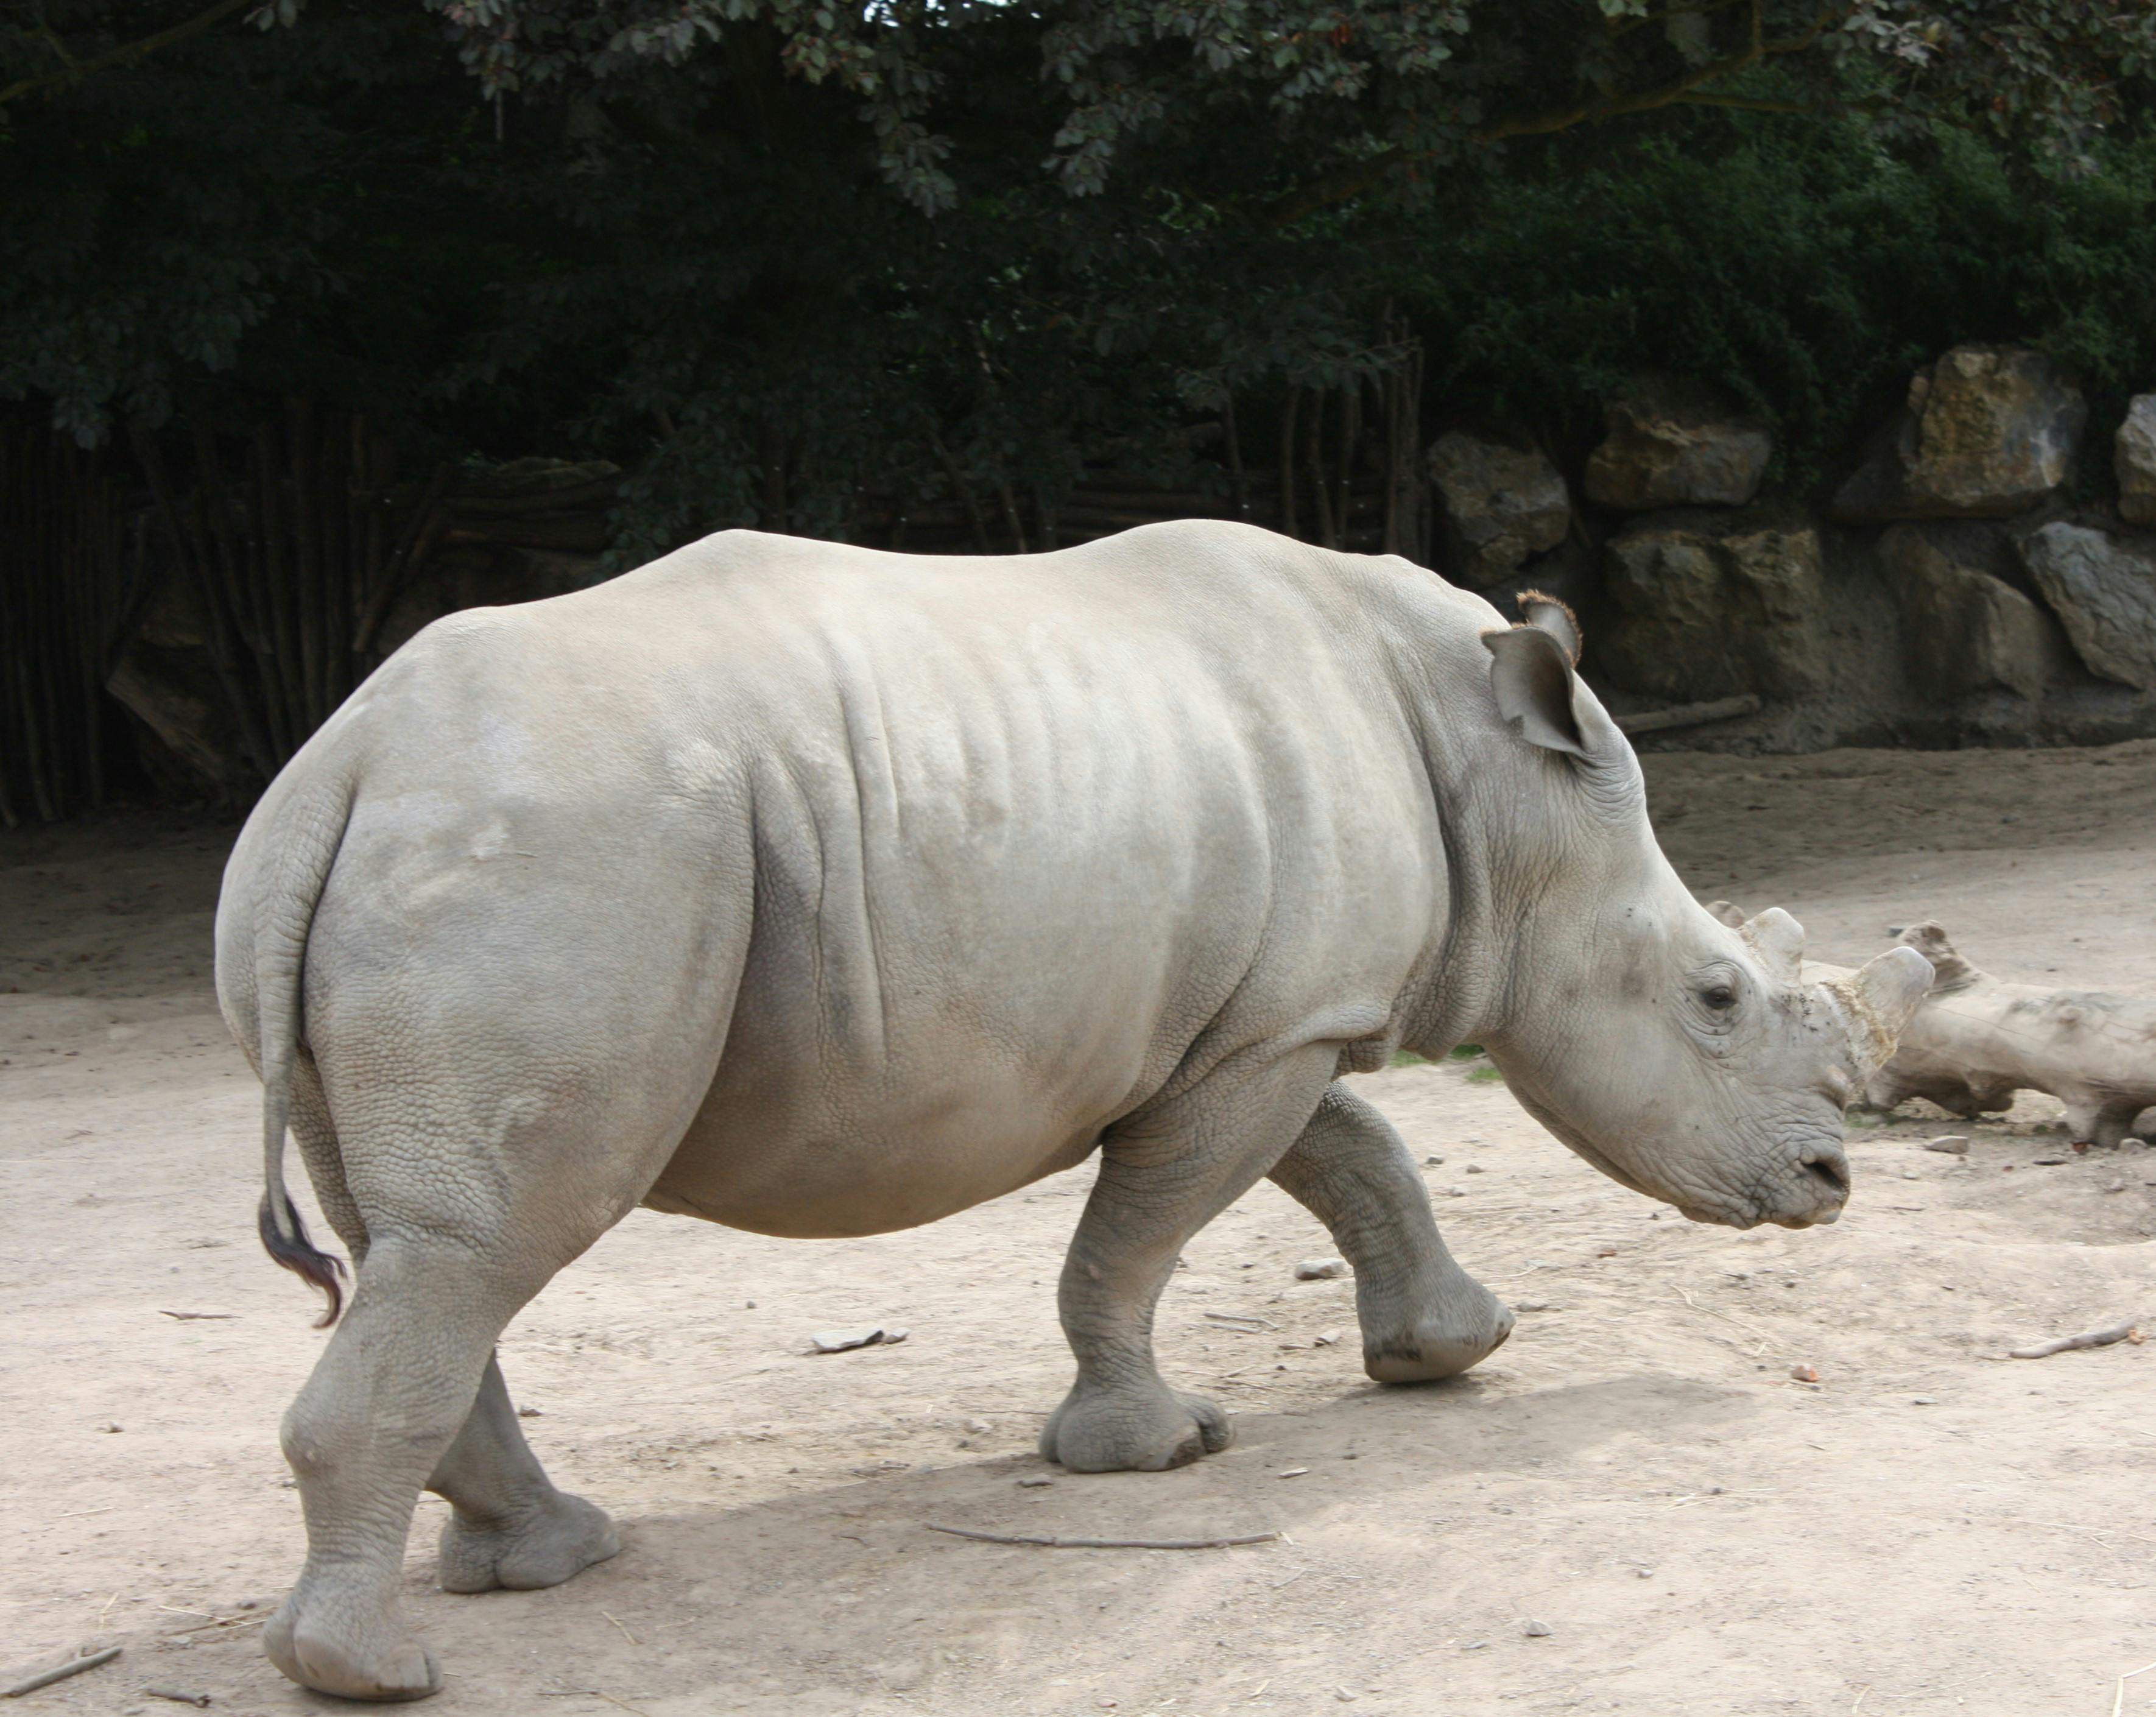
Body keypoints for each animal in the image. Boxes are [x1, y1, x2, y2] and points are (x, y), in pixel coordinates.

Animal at [214, 520, 1930, 1700]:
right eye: (1715, 996)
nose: (1829, 1179)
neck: (1503, 791)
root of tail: (340, 766)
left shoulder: (1273, 1014)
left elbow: (1355, 1157)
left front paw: (1450, 1348)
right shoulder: (1267, 1030)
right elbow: (1146, 1230)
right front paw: (1156, 1448)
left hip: (449, 868)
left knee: (430, 1247)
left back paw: (547, 1558)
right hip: (570, 850)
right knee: (489, 1241)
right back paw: (379, 1672)